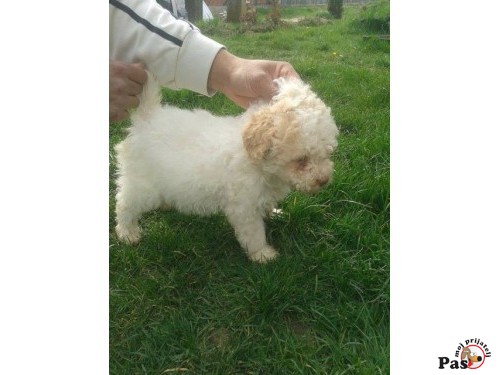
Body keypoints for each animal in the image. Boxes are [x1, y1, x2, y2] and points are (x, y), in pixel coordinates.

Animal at [115, 75, 338, 264]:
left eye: (327, 154)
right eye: (301, 160)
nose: (323, 180)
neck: (256, 162)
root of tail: (148, 117)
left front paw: (273, 212)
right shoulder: (244, 206)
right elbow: (254, 232)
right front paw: (262, 254)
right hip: (141, 184)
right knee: (125, 205)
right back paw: (128, 233)